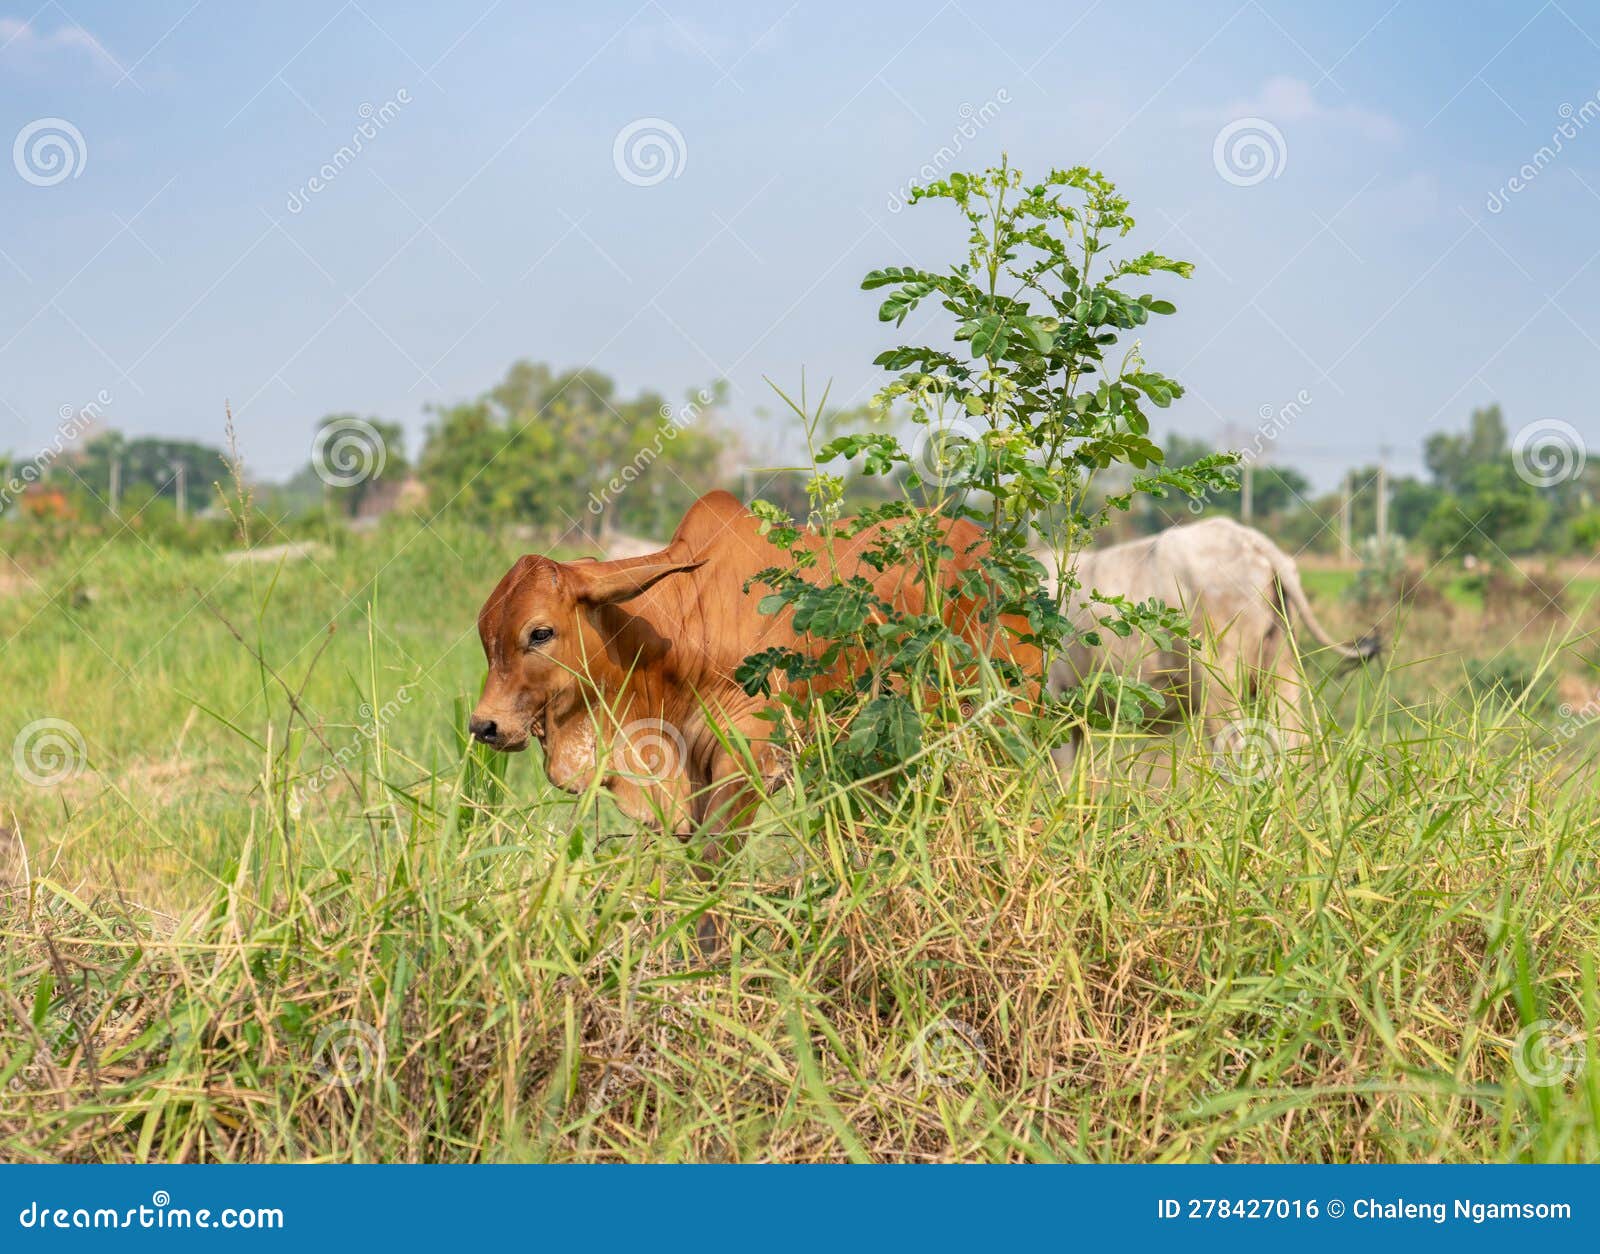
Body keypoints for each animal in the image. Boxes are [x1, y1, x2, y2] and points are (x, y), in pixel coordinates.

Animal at [469, 490, 1038, 947]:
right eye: (485, 636)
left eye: (540, 633)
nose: (484, 726)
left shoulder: (745, 762)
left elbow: (716, 864)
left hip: (1004, 725)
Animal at [1035, 516, 1380, 779]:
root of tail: (1251, 541)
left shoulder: (1055, 702)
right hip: (1281, 671)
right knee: (1293, 744)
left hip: (1218, 683)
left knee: (1239, 752)